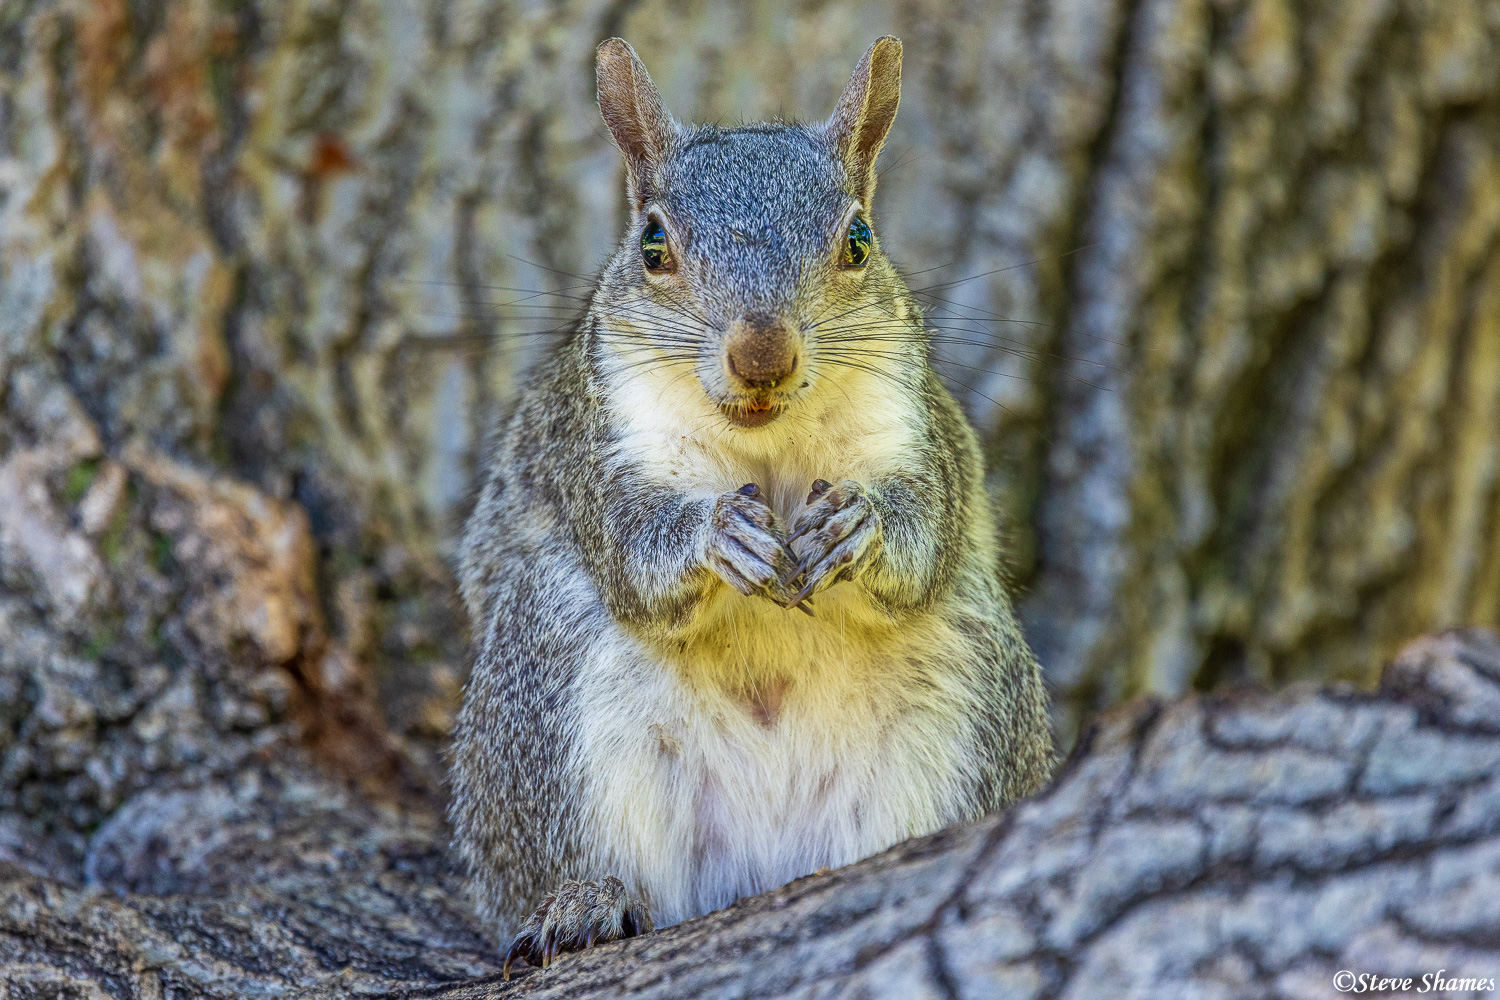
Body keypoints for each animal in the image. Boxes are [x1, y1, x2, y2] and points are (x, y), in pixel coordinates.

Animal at [451, 35, 1055, 974]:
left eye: (859, 241)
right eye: (653, 244)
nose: (762, 354)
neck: (769, 443)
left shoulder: (920, 434)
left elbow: (924, 535)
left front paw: (860, 526)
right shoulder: (597, 445)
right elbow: (634, 556)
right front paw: (717, 535)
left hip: (973, 677)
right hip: (546, 676)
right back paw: (584, 902)